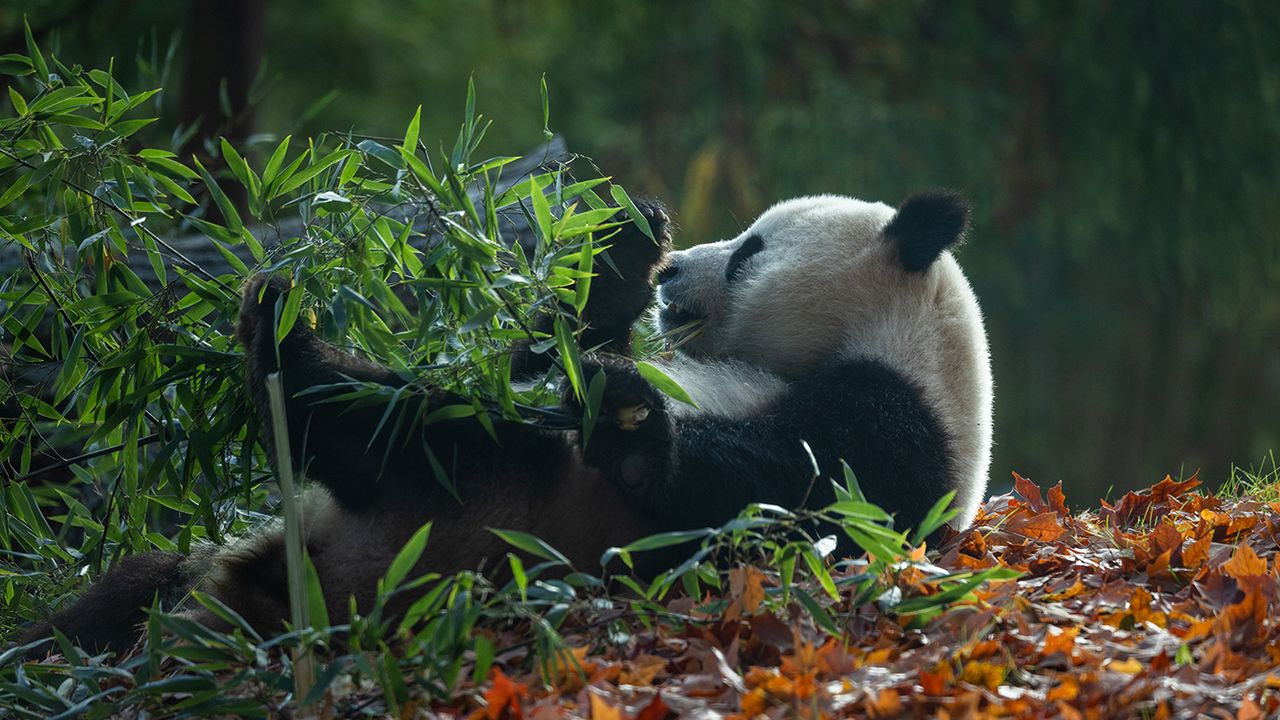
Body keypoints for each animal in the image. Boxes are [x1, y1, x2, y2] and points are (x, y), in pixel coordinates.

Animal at [22, 190, 992, 654]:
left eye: (752, 250)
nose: (679, 271)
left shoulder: (899, 428)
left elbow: (786, 490)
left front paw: (633, 425)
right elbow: (546, 349)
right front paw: (623, 253)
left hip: (488, 508)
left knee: (426, 431)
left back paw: (290, 349)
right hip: (242, 550)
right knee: (119, 595)